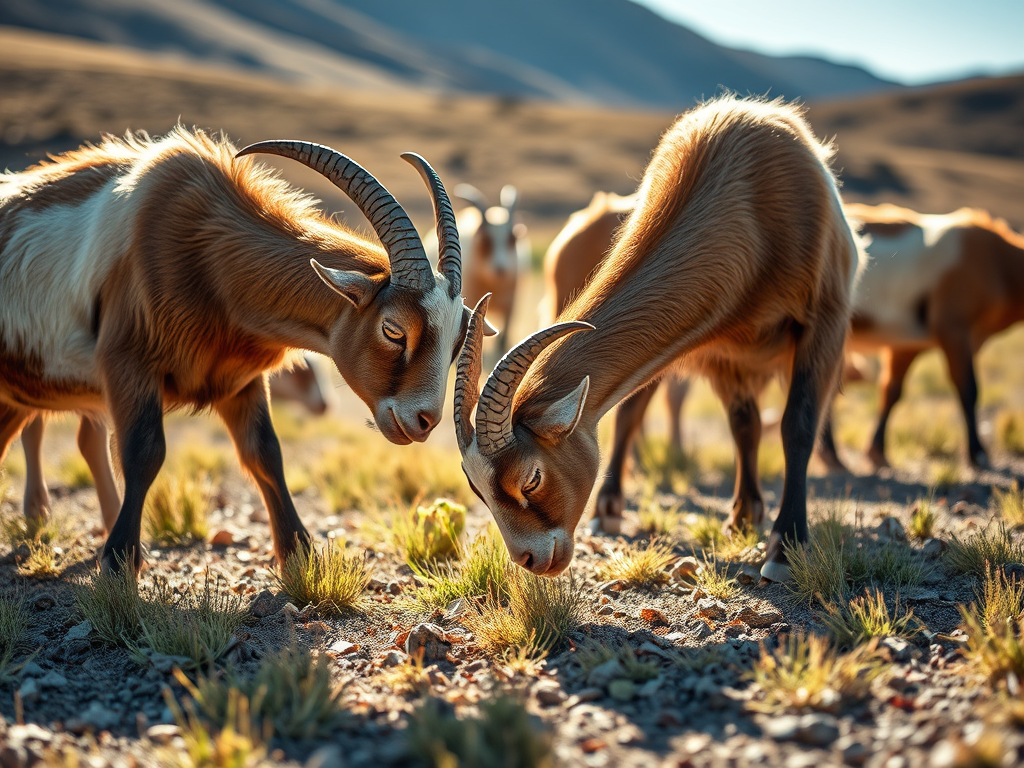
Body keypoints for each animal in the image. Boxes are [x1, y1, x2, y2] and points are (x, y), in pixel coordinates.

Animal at [818, 203, 1024, 470]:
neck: (998, 261)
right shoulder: (955, 332)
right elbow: (968, 389)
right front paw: (978, 454)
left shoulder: (905, 345)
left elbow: (891, 392)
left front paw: (877, 452)